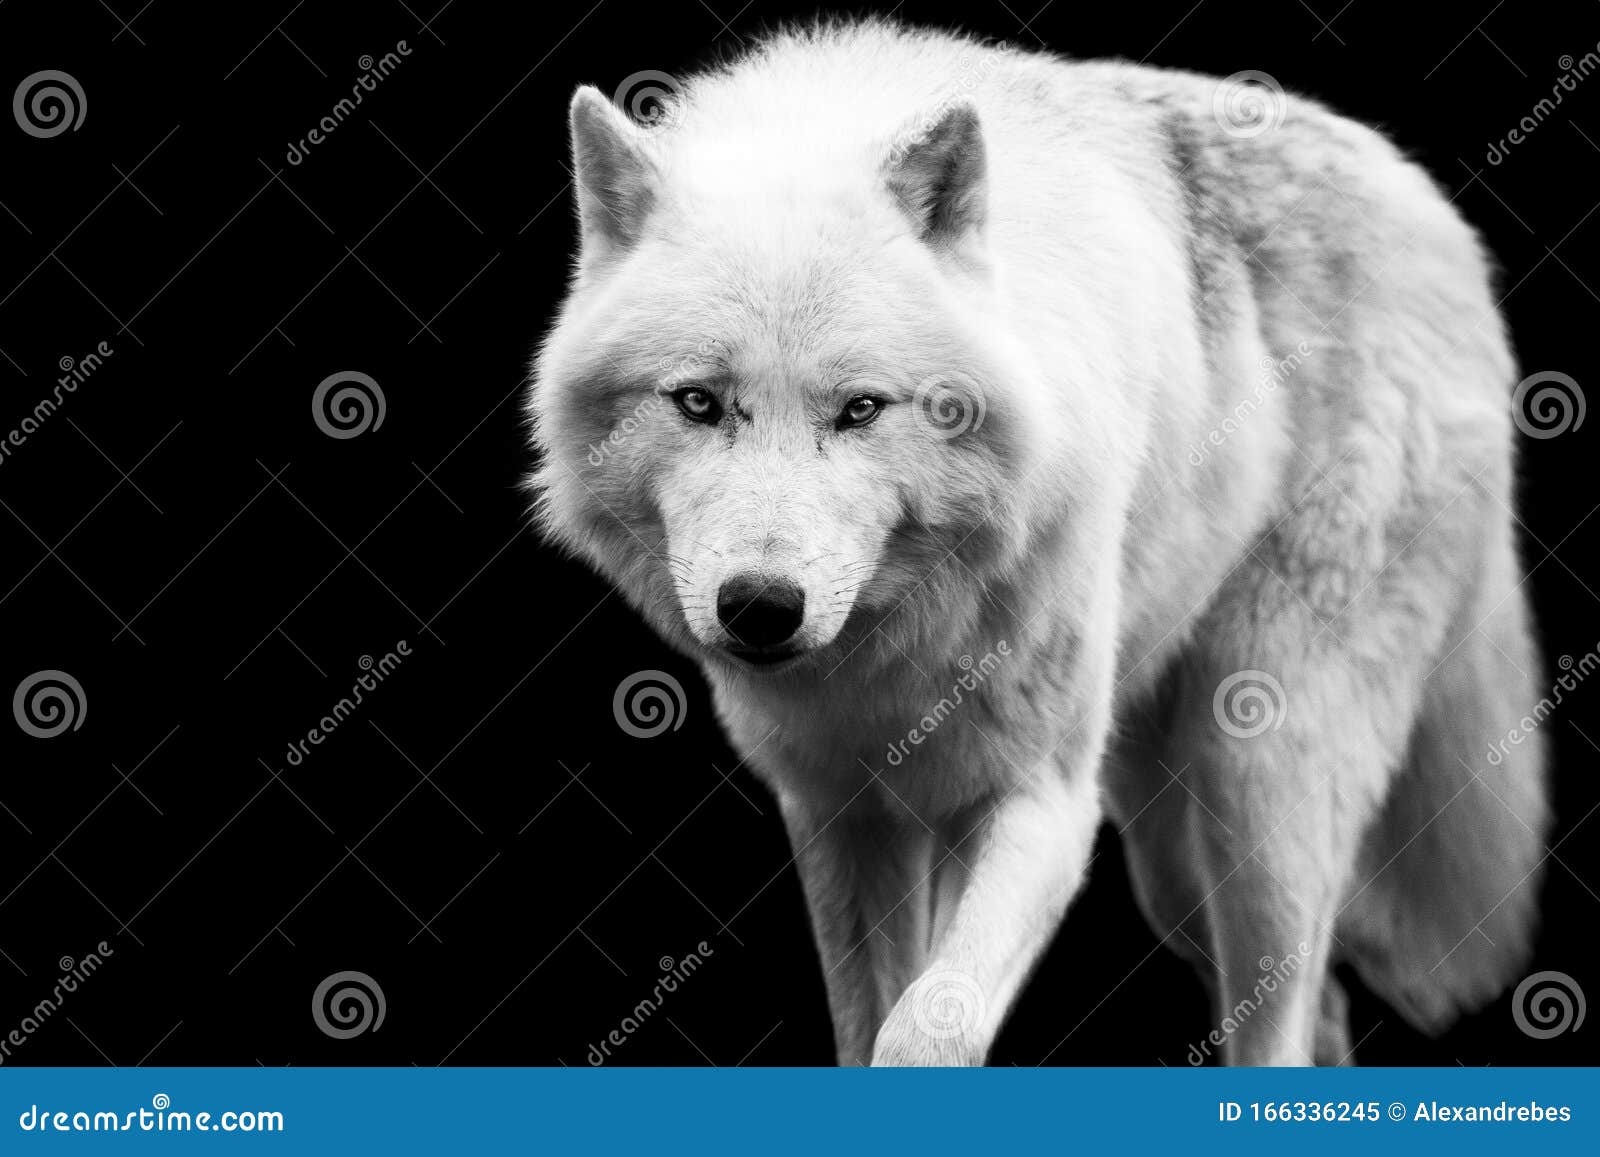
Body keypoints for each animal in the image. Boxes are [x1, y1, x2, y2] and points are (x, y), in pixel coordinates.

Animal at [527, 19, 1550, 1065]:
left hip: (1256, 780)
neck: (900, 644)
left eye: (860, 409)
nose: (762, 607)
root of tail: (1434, 212)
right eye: (698, 402)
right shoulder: (844, 816)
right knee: (1321, 1007)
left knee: (1282, 1012)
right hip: (1169, 863)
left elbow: (920, 1032)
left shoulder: (1045, 805)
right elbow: (870, 1022)